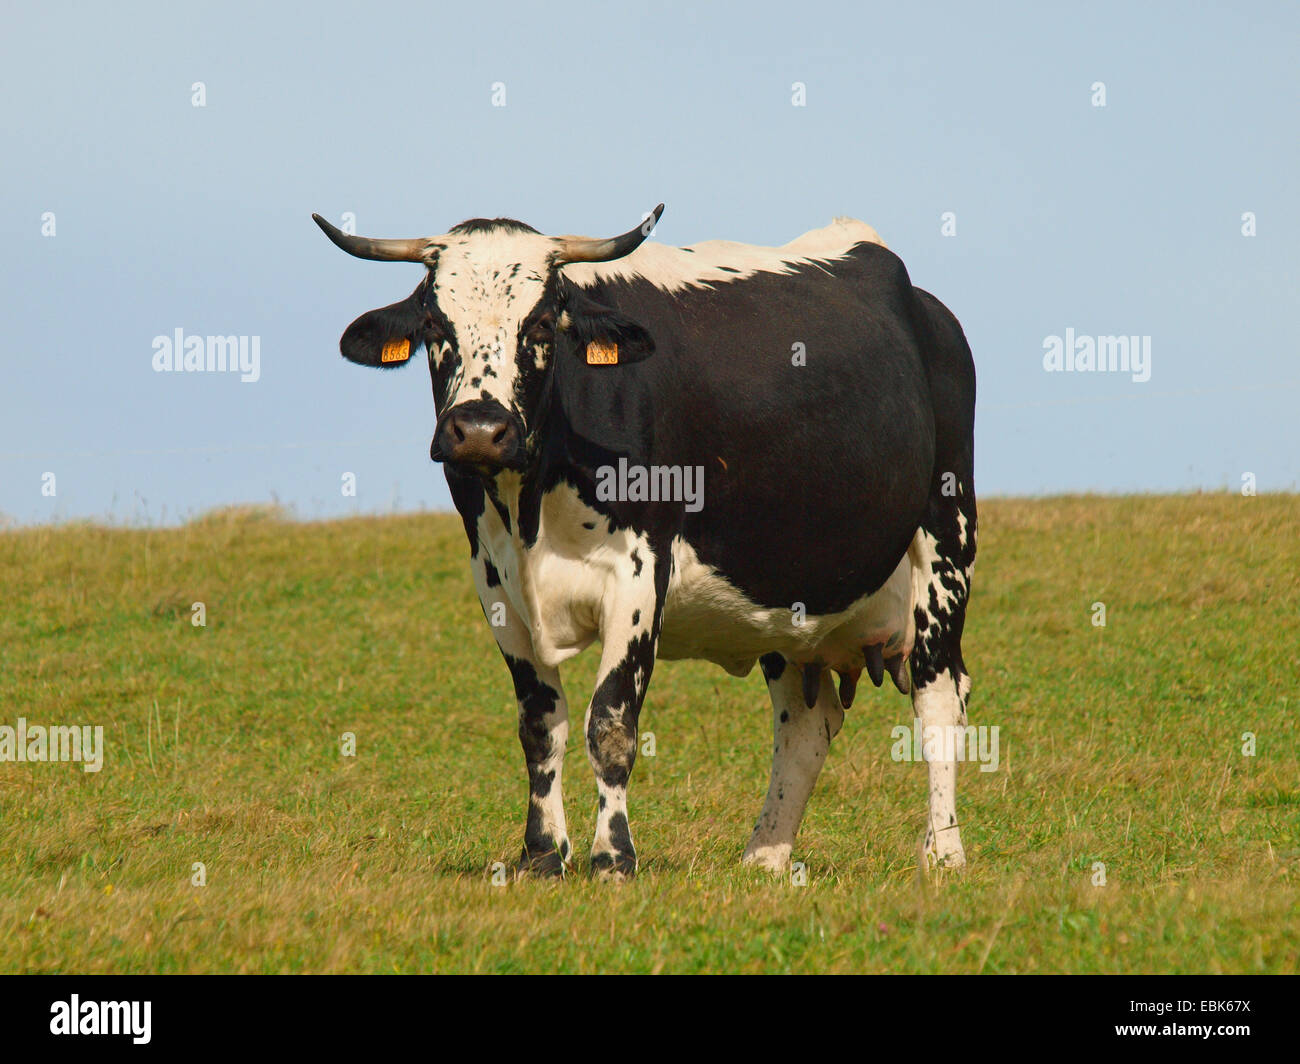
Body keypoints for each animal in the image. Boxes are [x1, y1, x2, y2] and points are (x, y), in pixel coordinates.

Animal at [312, 205, 977, 880]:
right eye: (433, 323)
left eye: (543, 322)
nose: (478, 429)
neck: (530, 514)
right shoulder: (494, 580)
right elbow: (539, 725)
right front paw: (542, 854)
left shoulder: (639, 570)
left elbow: (610, 721)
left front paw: (612, 857)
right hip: (791, 598)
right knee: (804, 726)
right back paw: (764, 858)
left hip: (945, 538)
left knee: (939, 698)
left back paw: (943, 853)